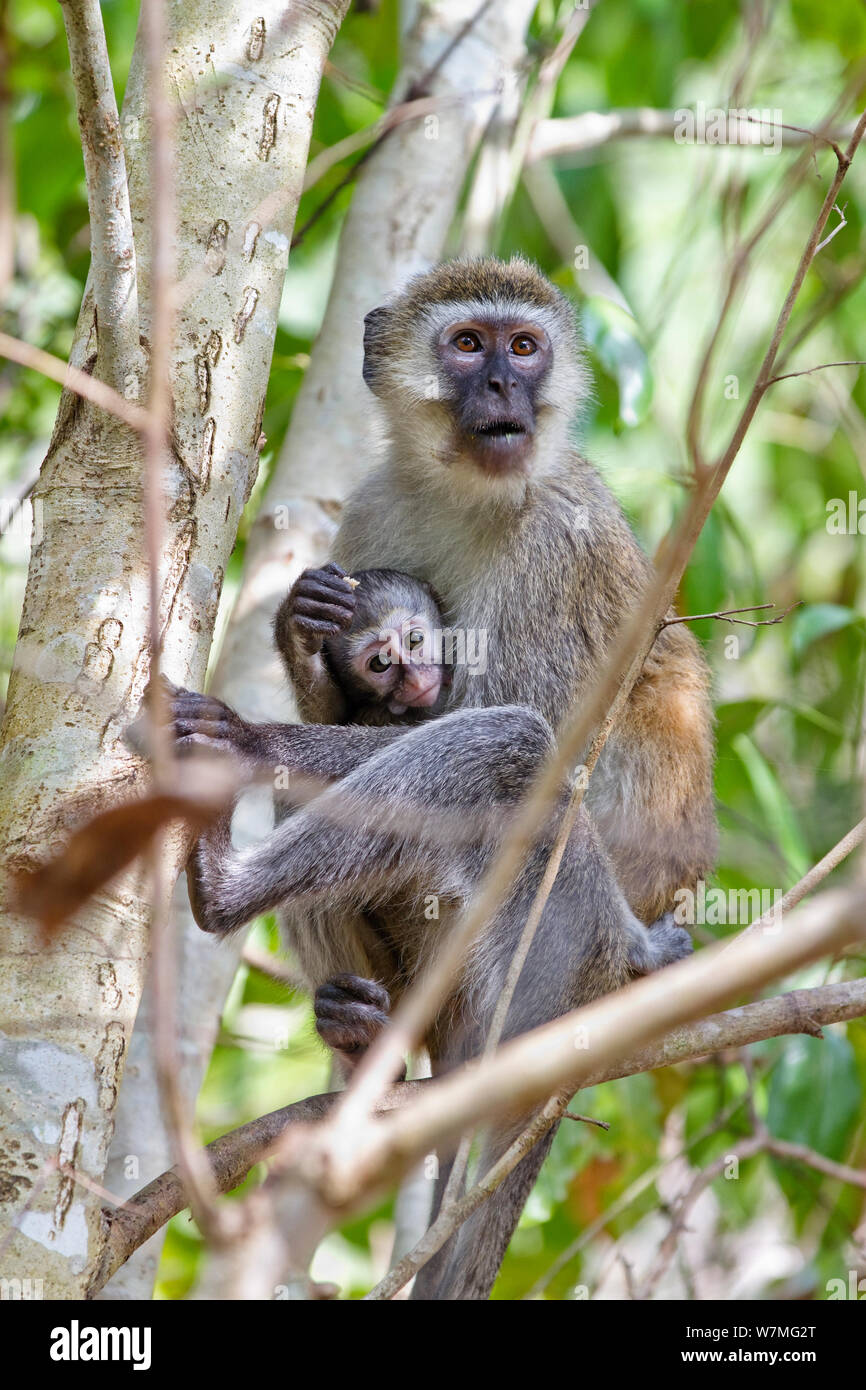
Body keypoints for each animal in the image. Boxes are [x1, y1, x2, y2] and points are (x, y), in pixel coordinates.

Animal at [165, 256, 716, 1299]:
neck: (473, 488)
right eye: (467, 345)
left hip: (557, 936)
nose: (503, 386)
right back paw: (359, 1039)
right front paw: (300, 628)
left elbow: (539, 731)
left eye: (524, 346)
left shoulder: (559, 543)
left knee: (514, 750)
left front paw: (250, 730)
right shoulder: (376, 505)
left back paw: (223, 888)